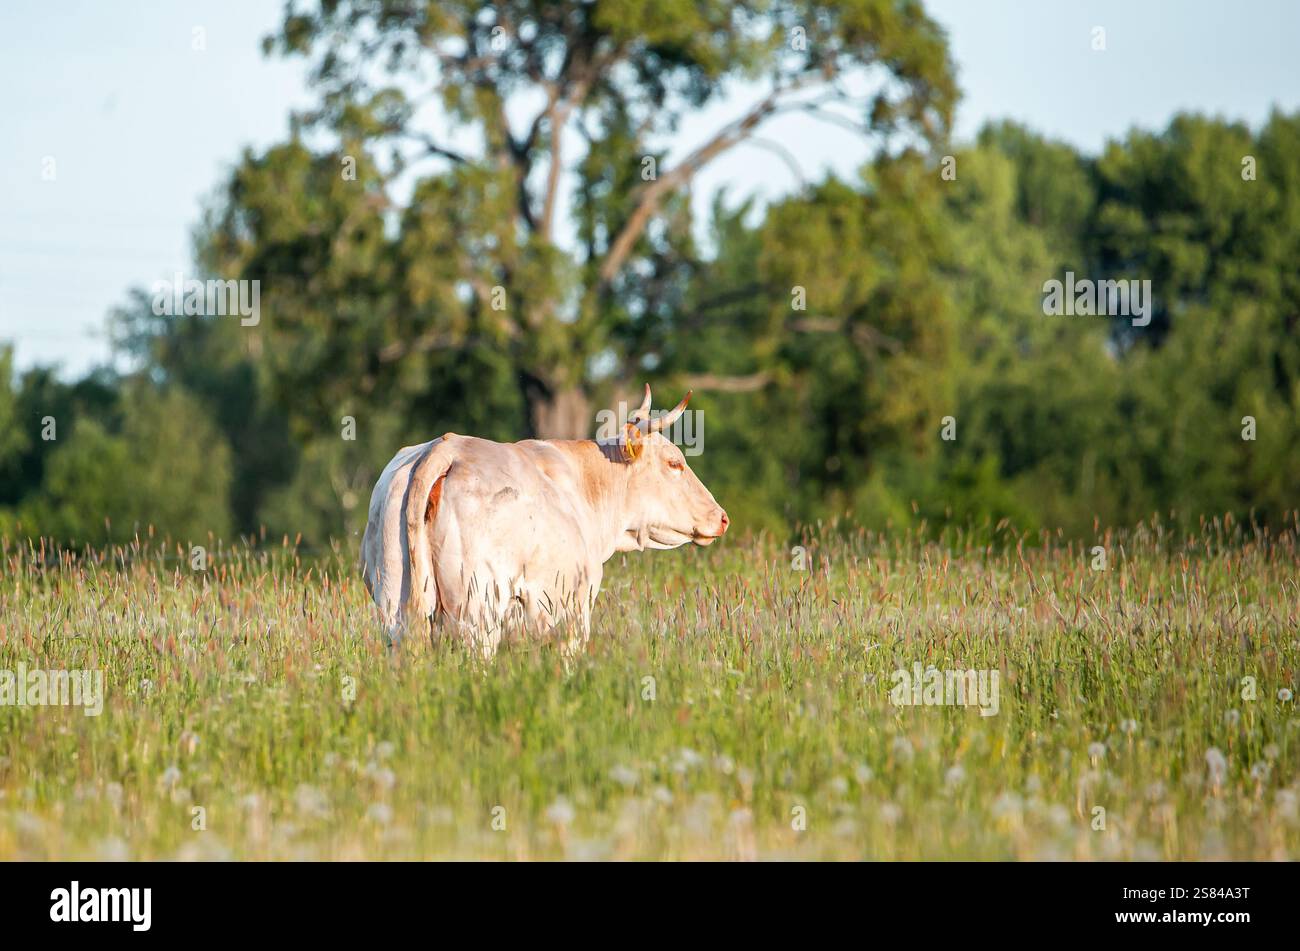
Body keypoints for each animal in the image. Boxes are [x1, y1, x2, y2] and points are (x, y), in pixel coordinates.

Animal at [360, 385, 728, 655]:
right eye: (674, 463)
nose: (721, 517)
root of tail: (447, 446)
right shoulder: (571, 610)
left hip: (395, 610)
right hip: (478, 614)